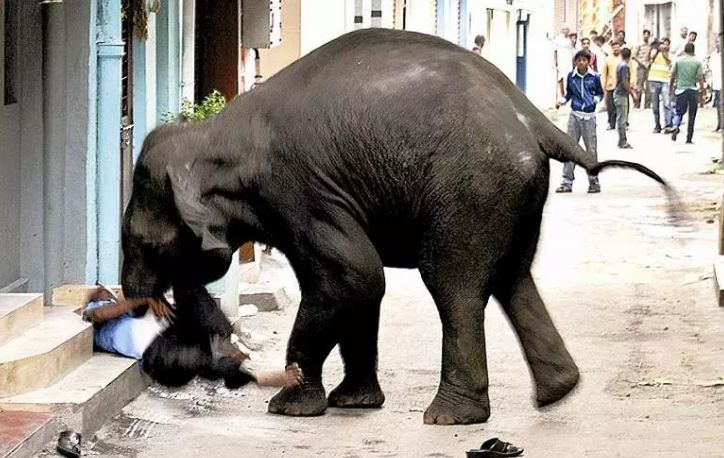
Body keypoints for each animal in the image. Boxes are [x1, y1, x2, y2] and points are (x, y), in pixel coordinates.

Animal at [121, 28, 672, 425]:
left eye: (139, 241)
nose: (136, 298)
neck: (215, 135)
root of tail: (534, 120)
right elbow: (360, 286)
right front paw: (353, 404)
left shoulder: (298, 191)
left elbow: (352, 277)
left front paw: (289, 407)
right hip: (510, 192)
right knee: (514, 278)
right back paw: (558, 392)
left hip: (471, 187)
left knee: (455, 286)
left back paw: (451, 418)